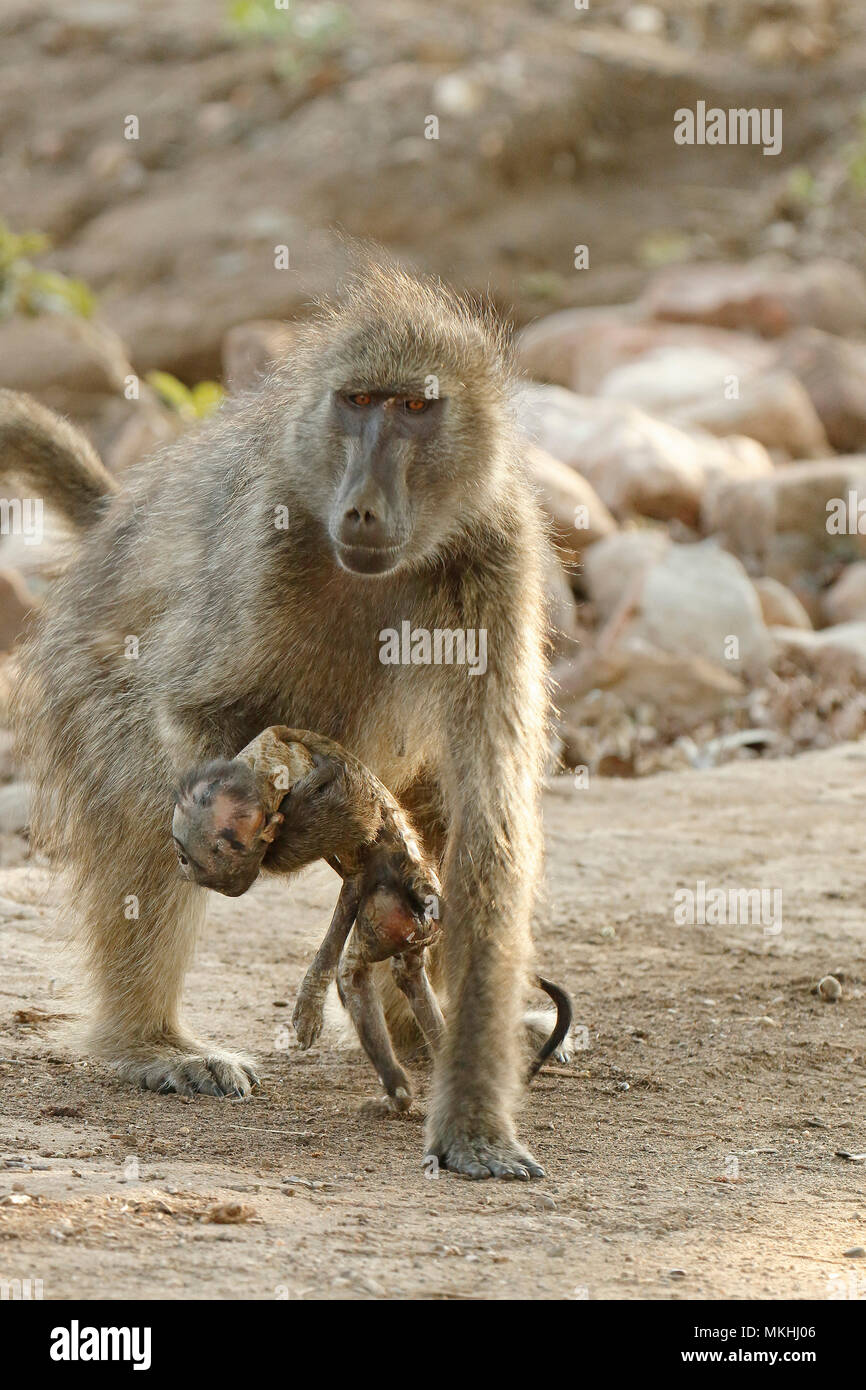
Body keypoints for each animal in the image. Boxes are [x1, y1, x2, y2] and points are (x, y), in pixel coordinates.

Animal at [170, 726, 573, 1109]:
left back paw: (399, 1093)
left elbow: (352, 869)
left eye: (187, 855)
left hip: (389, 916)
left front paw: (310, 1004)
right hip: (413, 928)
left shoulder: (319, 813)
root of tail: (424, 889)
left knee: (353, 969)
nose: (182, 864)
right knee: (402, 971)